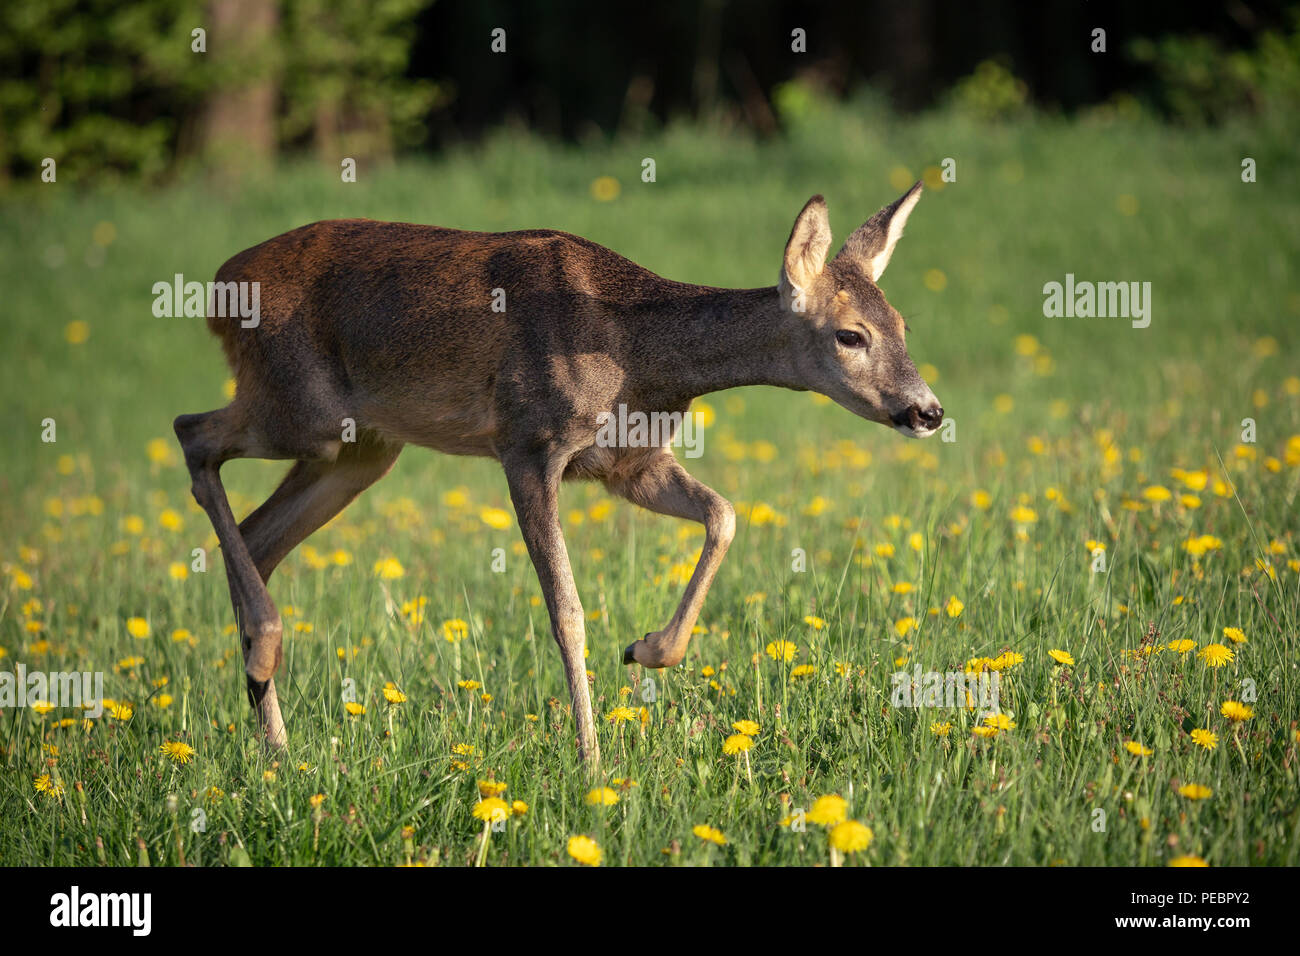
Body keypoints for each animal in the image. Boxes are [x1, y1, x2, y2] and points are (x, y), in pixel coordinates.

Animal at [174, 182, 942, 767]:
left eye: (904, 325)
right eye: (850, 335)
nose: (928, 411)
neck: (638, 355)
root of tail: (215, 290)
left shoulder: (629, 464)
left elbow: (724, 514)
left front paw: (648, 649)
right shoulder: (528, 443)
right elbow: (567, 611)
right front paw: (591, 758)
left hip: (360, 448)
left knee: (258, 534)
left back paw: (274, 737)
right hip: (300, 408)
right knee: (193, 434)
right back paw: (266, 653)